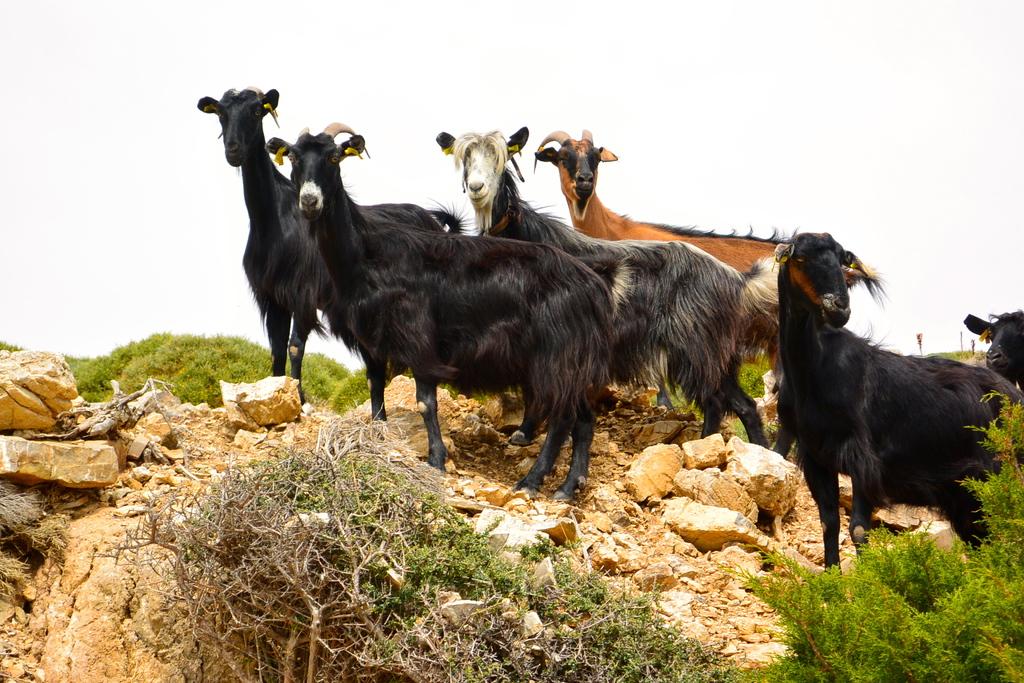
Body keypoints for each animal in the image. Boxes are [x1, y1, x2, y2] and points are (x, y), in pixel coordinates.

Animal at [197, 87, 459, 414]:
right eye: (221, 113)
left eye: (257, 111)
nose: (233, 151)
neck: (276, 221)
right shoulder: (272, 298)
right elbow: (276, 350)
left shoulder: (303, 295)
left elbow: (295, 346)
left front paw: (301, 401)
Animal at [268, 124, 615, 500]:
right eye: (293, 157)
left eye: (334, 157)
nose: (310, 201)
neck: (367, 252)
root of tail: (594, 287)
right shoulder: (371, 339)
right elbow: (375, 390)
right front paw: (379, 434)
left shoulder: (419, 338)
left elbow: (425, 403)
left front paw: (436, 459)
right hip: (572, 362)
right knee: (584, 420)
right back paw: (569, 485)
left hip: (556, 356)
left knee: (564, 418)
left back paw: (531, 481)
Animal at [436, 128, 775, 449]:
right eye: (464, 157)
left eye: (501, 156)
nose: (478, 188)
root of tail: (737, 280)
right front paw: (526, 431)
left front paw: (526, 431)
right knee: (726, 404)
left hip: (699, 350)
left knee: (730, 403)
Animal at [776, 232, 1022, 568]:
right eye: (800, 258)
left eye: (841, 260)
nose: (840, 308)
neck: (814, 370)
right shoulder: (815, 458)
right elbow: (829, 523)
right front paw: (832, 578)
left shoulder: (863, 458)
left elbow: (858, 529)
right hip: (964, 492)